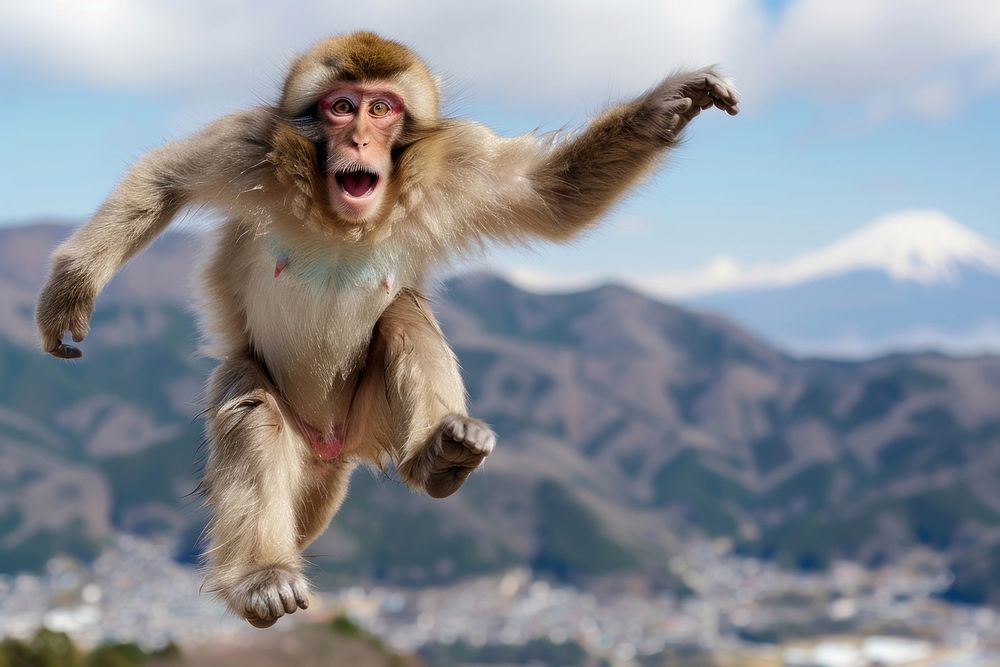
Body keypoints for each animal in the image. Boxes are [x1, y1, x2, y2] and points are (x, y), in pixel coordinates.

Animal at [35, 32, 739, 627]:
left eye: (382, 109)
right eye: (342, 107)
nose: (359, 142)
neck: (338, 218)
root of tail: (331, 448)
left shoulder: (455, 166)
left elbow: (549, 193)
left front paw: (670, 105)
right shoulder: (251, 146)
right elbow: (166, 177)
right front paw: (72, 287)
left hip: (373, 417)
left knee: (403, 315)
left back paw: (440, 451)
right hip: (295, 427)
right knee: (250, 398)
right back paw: (261, 576)